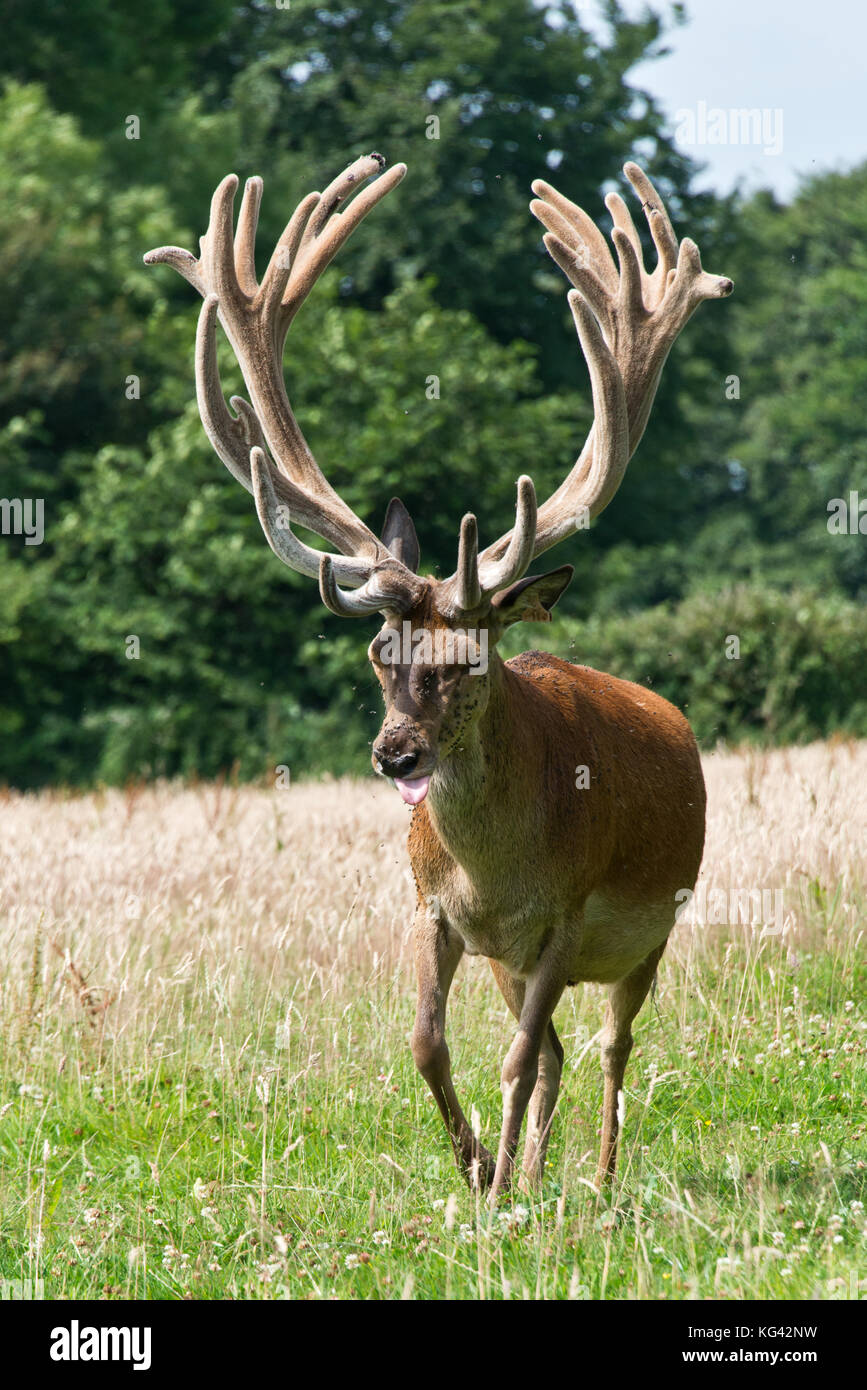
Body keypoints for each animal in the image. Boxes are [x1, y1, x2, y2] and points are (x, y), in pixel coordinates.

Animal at [145, 151, 732, 1201]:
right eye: (380, 653)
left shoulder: (566, 916)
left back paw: (597, 1179)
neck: (495, 874)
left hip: (652, 927)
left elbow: (516, 1055)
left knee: (613, 1047)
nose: (394, 755)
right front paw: (479, 1170)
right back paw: (530, 1172)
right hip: (523, 959)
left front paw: (495, 1183)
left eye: (469, 657)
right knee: (561, 1056)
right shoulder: (434, 912)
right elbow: (429, 1043)